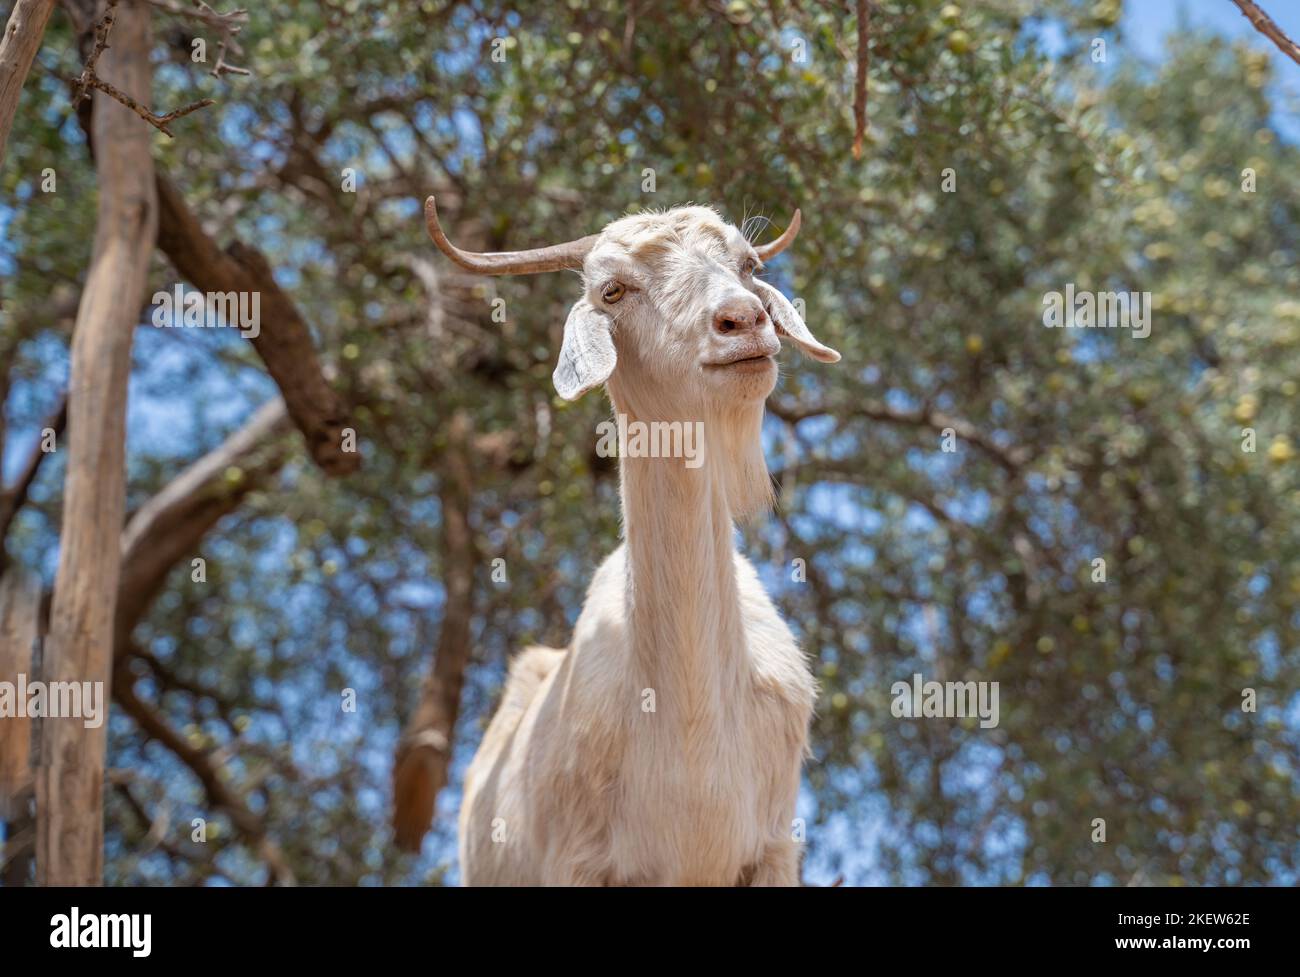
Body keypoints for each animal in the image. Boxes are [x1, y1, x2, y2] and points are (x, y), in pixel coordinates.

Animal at [424, 199, 840, 885]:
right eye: (612, 290)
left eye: (749, 266)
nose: (743, 321)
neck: (690, 730)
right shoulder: (578, 861)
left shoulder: (775, 850)